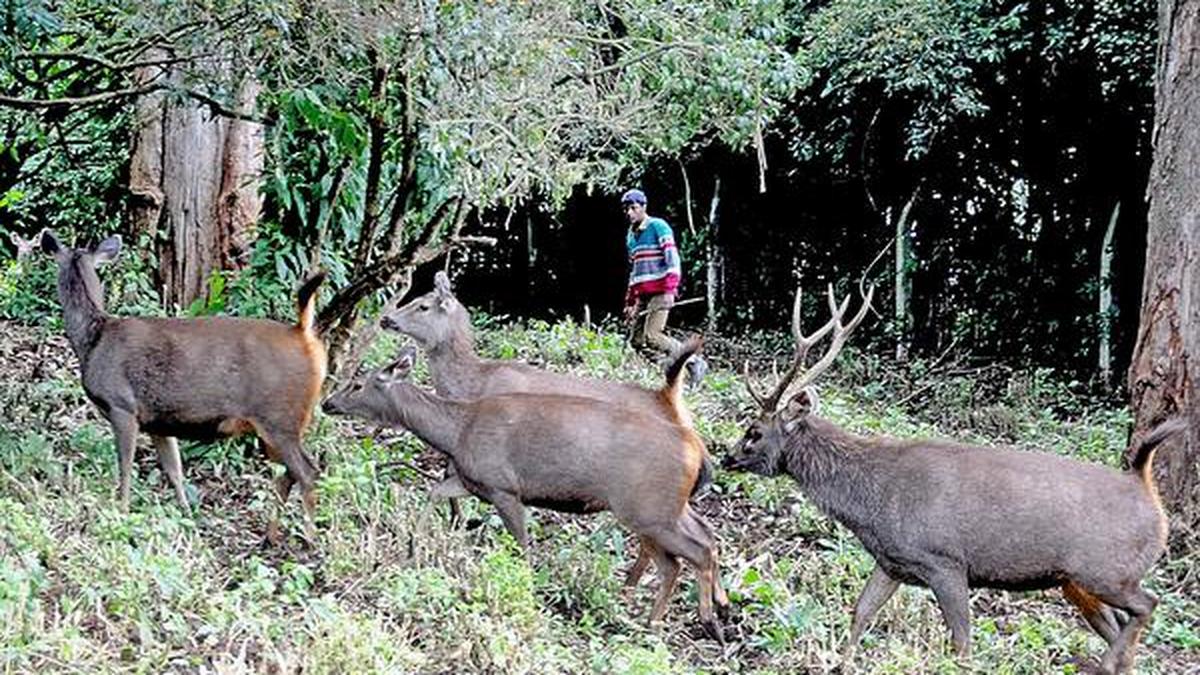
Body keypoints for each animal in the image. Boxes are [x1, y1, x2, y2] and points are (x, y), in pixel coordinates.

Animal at [40, 230, 327, 532]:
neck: (94, 340)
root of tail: (304, 335)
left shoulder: (122, 406)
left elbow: (125, 466)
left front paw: (122, 510)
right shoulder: (158, 420)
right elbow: (174, 470)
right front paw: (187, 514)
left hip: (279, 418)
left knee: (307, 473)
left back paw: (307, 536)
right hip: (276, 426)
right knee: (287, 475)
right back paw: (271, 535)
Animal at [322, 340, 730, 642]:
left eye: (357, 384)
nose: (327, 402)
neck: (457, 431)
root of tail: (697, 450)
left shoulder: (504, 486)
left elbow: (522, 545)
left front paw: (527, 592)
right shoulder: (473, 481)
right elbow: (434, 492)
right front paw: (412, 547)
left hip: (646, 508)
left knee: (689, 553)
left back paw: (702, 619)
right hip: (664, 507)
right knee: (700, 541)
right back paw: (685, 614)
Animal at [721, 282, 1185, 674]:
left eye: (754, 431)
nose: (726, 456)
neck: (872, 502)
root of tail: (1146, 487)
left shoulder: (944, 560)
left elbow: (962, 645)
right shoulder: (892, 561)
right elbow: (860, 614)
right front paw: (842, 663)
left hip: (1105, 568)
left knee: (1147, 604)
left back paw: (1105, 661)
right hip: (1077, 581)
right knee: (1122, 627)